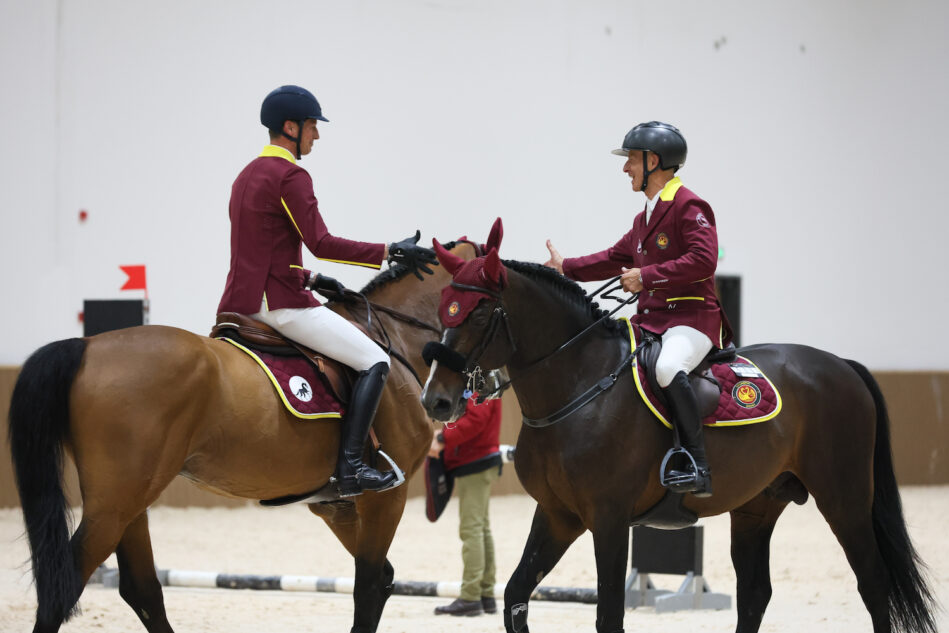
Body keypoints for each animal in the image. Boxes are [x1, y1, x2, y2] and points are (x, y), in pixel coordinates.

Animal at [6, 240, 480, 633]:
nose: (446, 402)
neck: (394, 340)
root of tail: (87, 346)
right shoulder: (385, 496)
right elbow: (368, 586)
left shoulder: (335, 505)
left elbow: (380, 578)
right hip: (114, 506)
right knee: (64, 588)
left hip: (128, 503)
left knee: (142, 590)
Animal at [420, 240, 937, 633]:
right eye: (443, 309)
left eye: (479, 313)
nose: (436, 401)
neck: (578, 386)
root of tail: (841, 365)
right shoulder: (557, 515)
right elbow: (515, 595)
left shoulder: (608, 519)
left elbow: (609, 615)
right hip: (757, 506)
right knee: (755, 593)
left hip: (843, 497)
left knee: (873, 582)